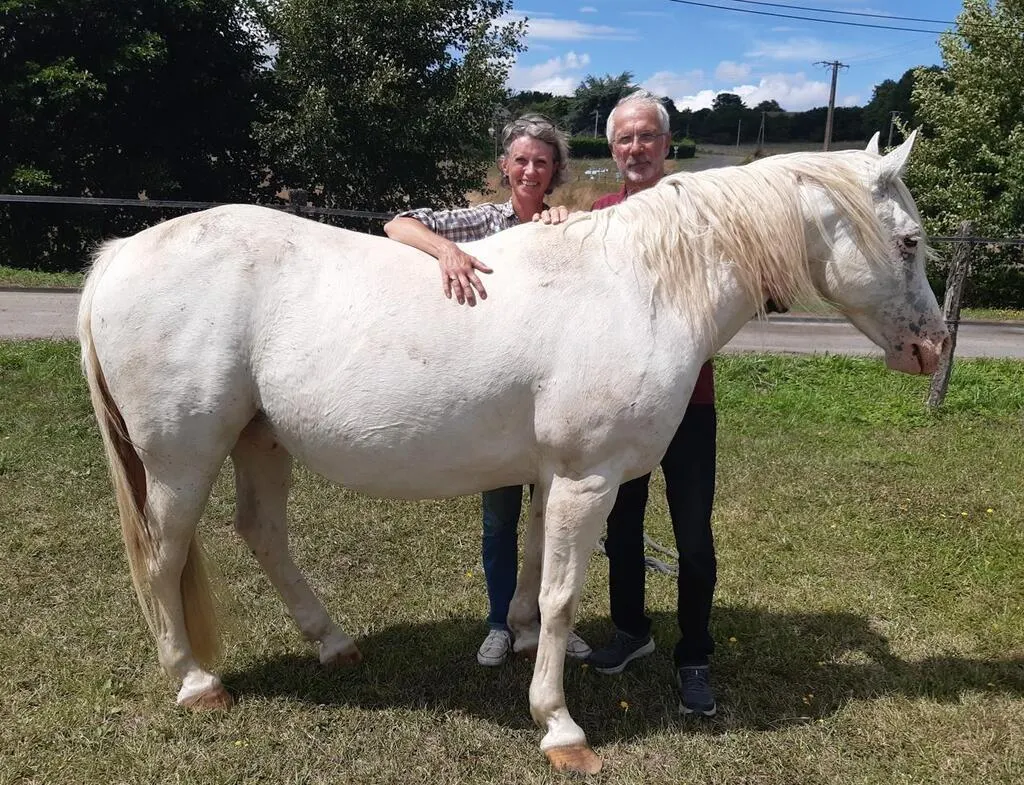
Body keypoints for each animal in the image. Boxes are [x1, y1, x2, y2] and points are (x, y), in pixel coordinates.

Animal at [78, 131, 947, 774]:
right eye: (909, 241)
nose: (934, 348)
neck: (639, 285)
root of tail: (121, 254)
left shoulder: (550, 477)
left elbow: (531, 570)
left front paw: (521, 641)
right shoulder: (587, 479)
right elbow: (563, 594)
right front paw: (560, 725)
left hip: (261, 440)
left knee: (262, 532)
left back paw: (333, 642)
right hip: (182, 458)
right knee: (162, 556)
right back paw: (195, 680)